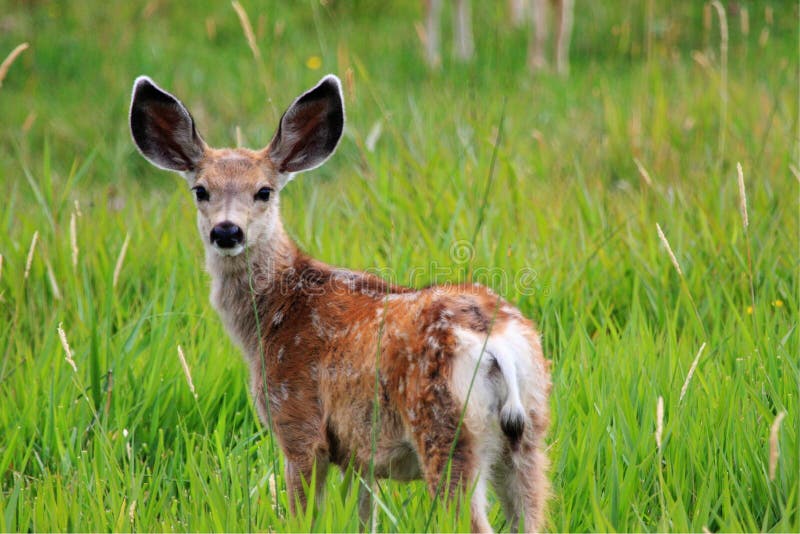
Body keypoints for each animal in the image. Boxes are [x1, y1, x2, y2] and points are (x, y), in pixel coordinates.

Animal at [129, 74, 551, 533]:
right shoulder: (359, 453)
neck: (272, 317)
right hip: (530, 433)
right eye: (200, 190)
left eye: (264, 191)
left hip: (447, 428)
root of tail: (496, 342)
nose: (227, 231)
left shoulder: (300, 425)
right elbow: (364, 517)